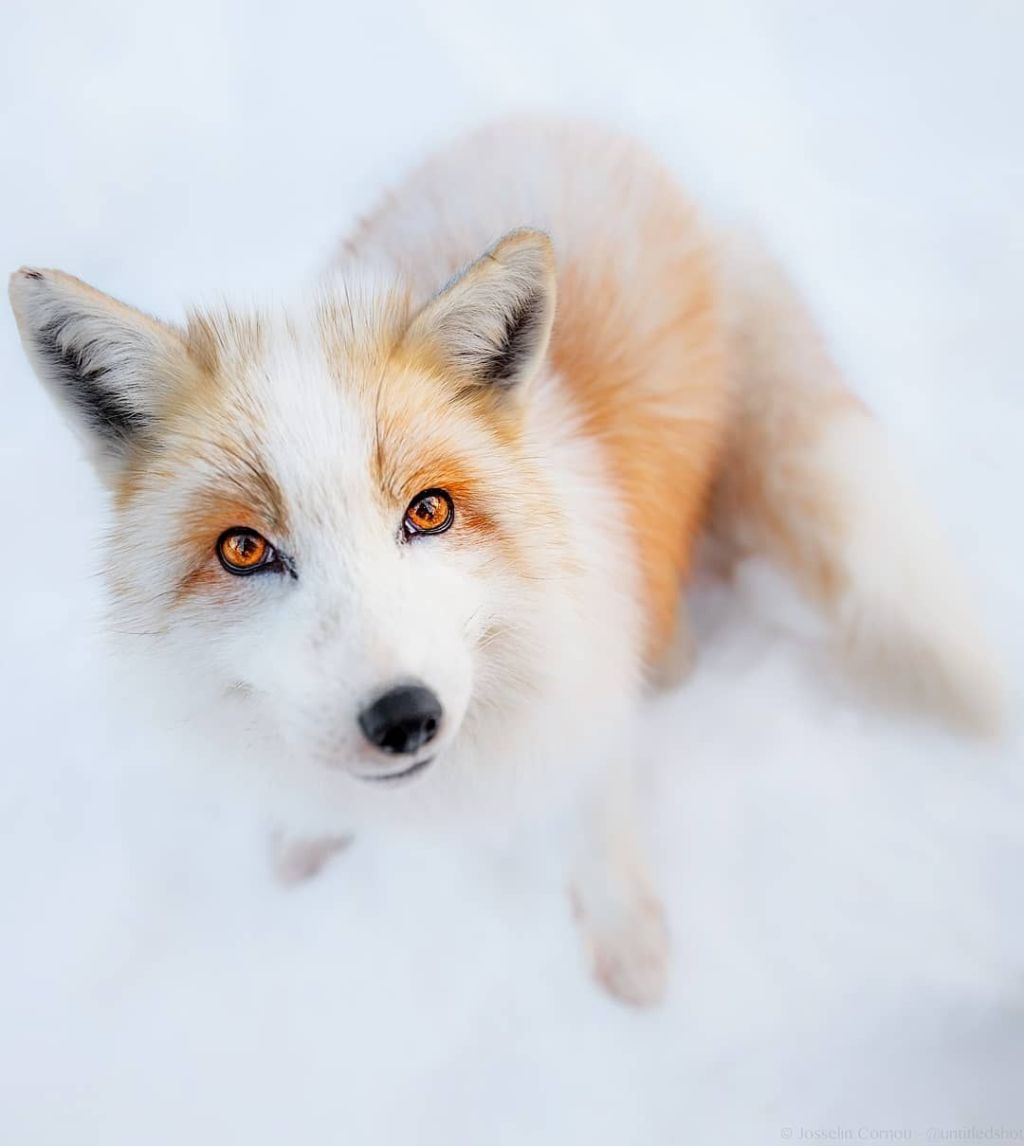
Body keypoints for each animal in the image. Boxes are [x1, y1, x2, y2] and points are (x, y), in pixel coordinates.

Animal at [8, 119, 1004, 1006]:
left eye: (429, 511)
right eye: (245, 548)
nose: (404, 716)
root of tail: (576, 126)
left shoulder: (591, 670)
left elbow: (600, 807)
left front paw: (622, 932)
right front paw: (304, 840)